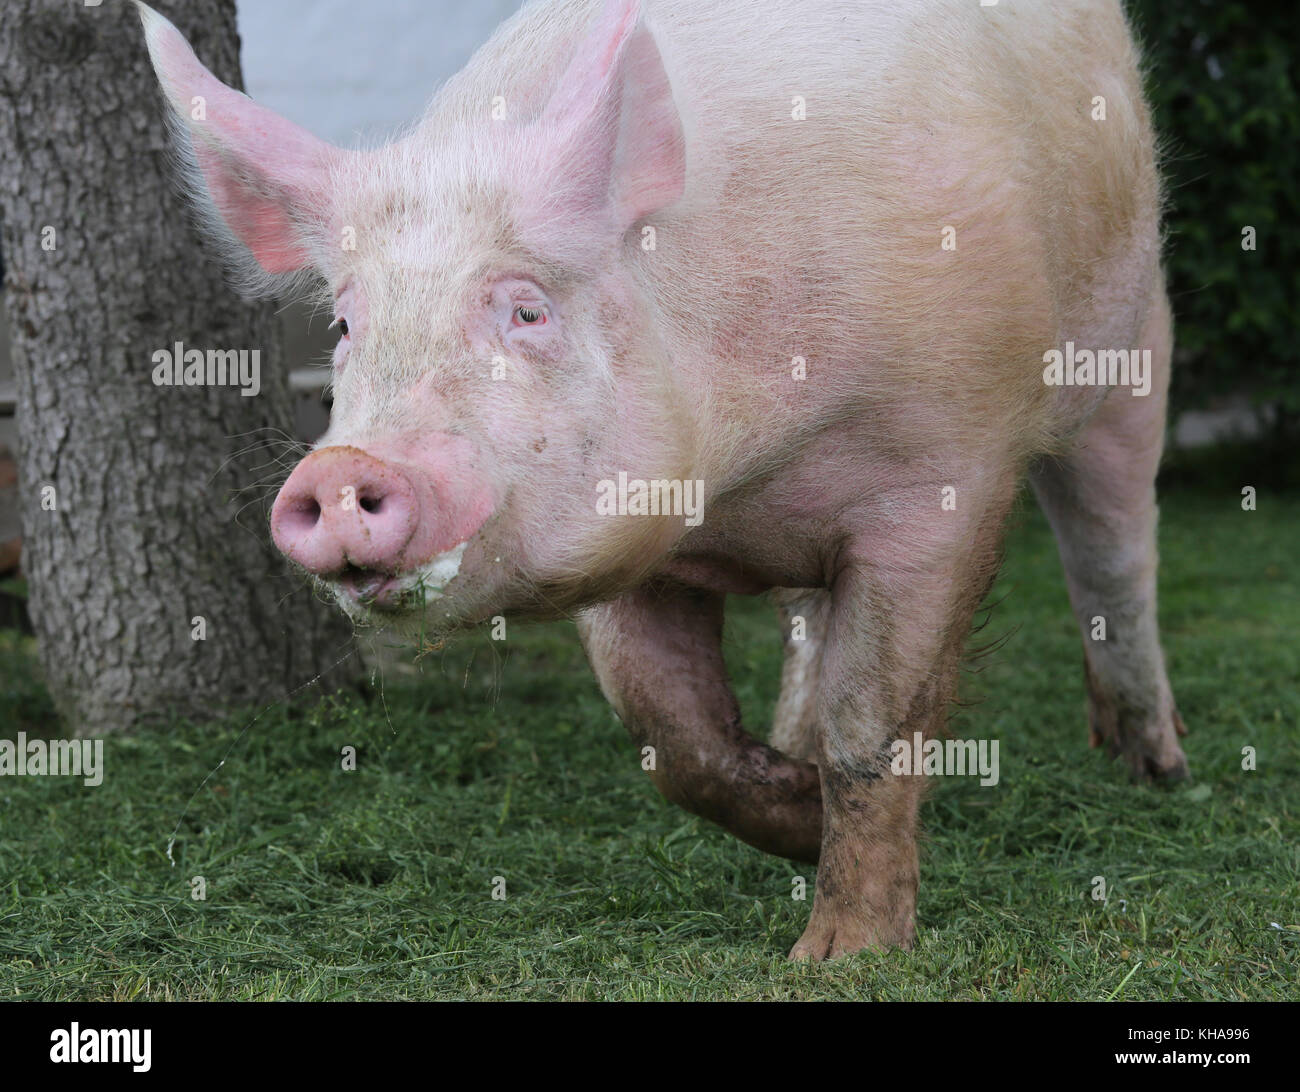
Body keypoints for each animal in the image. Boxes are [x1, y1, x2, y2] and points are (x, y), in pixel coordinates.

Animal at [137, 0, 1188, 959]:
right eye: (348, 323)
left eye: (527, 310)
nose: (339, 468)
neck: (739, 479)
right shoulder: (626, 540)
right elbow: (672, 738)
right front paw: (798, 815)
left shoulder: (941, 471)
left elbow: (873, 725)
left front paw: (841, 955)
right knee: (810, 622)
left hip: (1135, 336)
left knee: (1115, 549)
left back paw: (1154, 769)